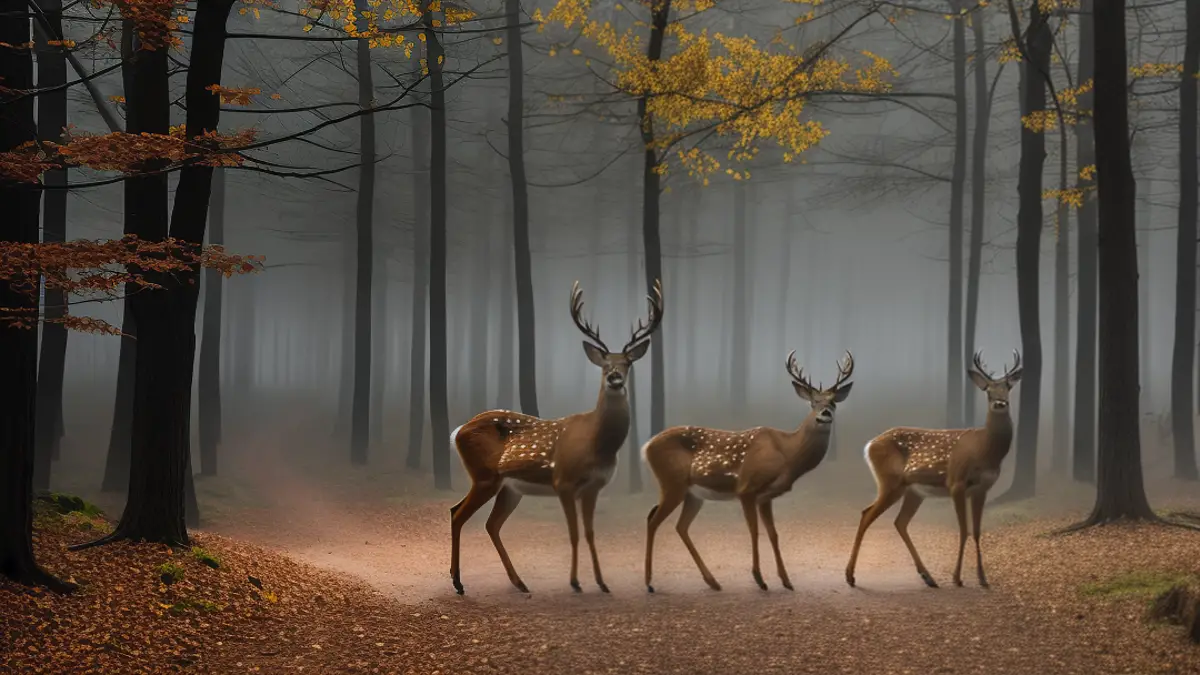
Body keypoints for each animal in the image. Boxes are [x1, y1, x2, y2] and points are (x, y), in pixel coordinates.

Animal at [448, 279, 664, 595]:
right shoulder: (563, 481)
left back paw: (519, 582)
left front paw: (602, 583)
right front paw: (575, 582)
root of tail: (458, 431)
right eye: (604, 364)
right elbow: (573, 532)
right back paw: (459, 583)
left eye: (627, 363)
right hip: (485, 476)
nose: (614, 378)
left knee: (488, 523)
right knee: (459, 515)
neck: (598, 444)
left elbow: (589, 532)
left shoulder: (593, 487)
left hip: (508, 487)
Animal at [642, 350, 854, 593]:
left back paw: (713, 581)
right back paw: (649, 583)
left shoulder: (766, 496)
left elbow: (774, 533)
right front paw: (759, 579)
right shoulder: (747, 488)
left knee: (680, 526)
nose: (825, 413)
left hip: (692, 494)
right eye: (813, 402)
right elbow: (754, 530)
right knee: (653, 520)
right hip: (672, 483)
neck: (787, 453)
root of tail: (646, 447)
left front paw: (786, 581)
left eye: (833, 401)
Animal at [844, 350, 1022, 590]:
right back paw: (850, 576)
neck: (985, 449)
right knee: (867, 514)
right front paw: (957, 578)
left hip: (913, 491)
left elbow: (977, 531)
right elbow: (964, 529)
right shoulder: (956, 482)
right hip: (891, 482)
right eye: (987, 390)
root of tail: (869, 445)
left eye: (1008, 387)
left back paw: (928, 577)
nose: (1000, 403)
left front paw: (983, 579)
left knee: (900, 522)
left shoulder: (982, 488)